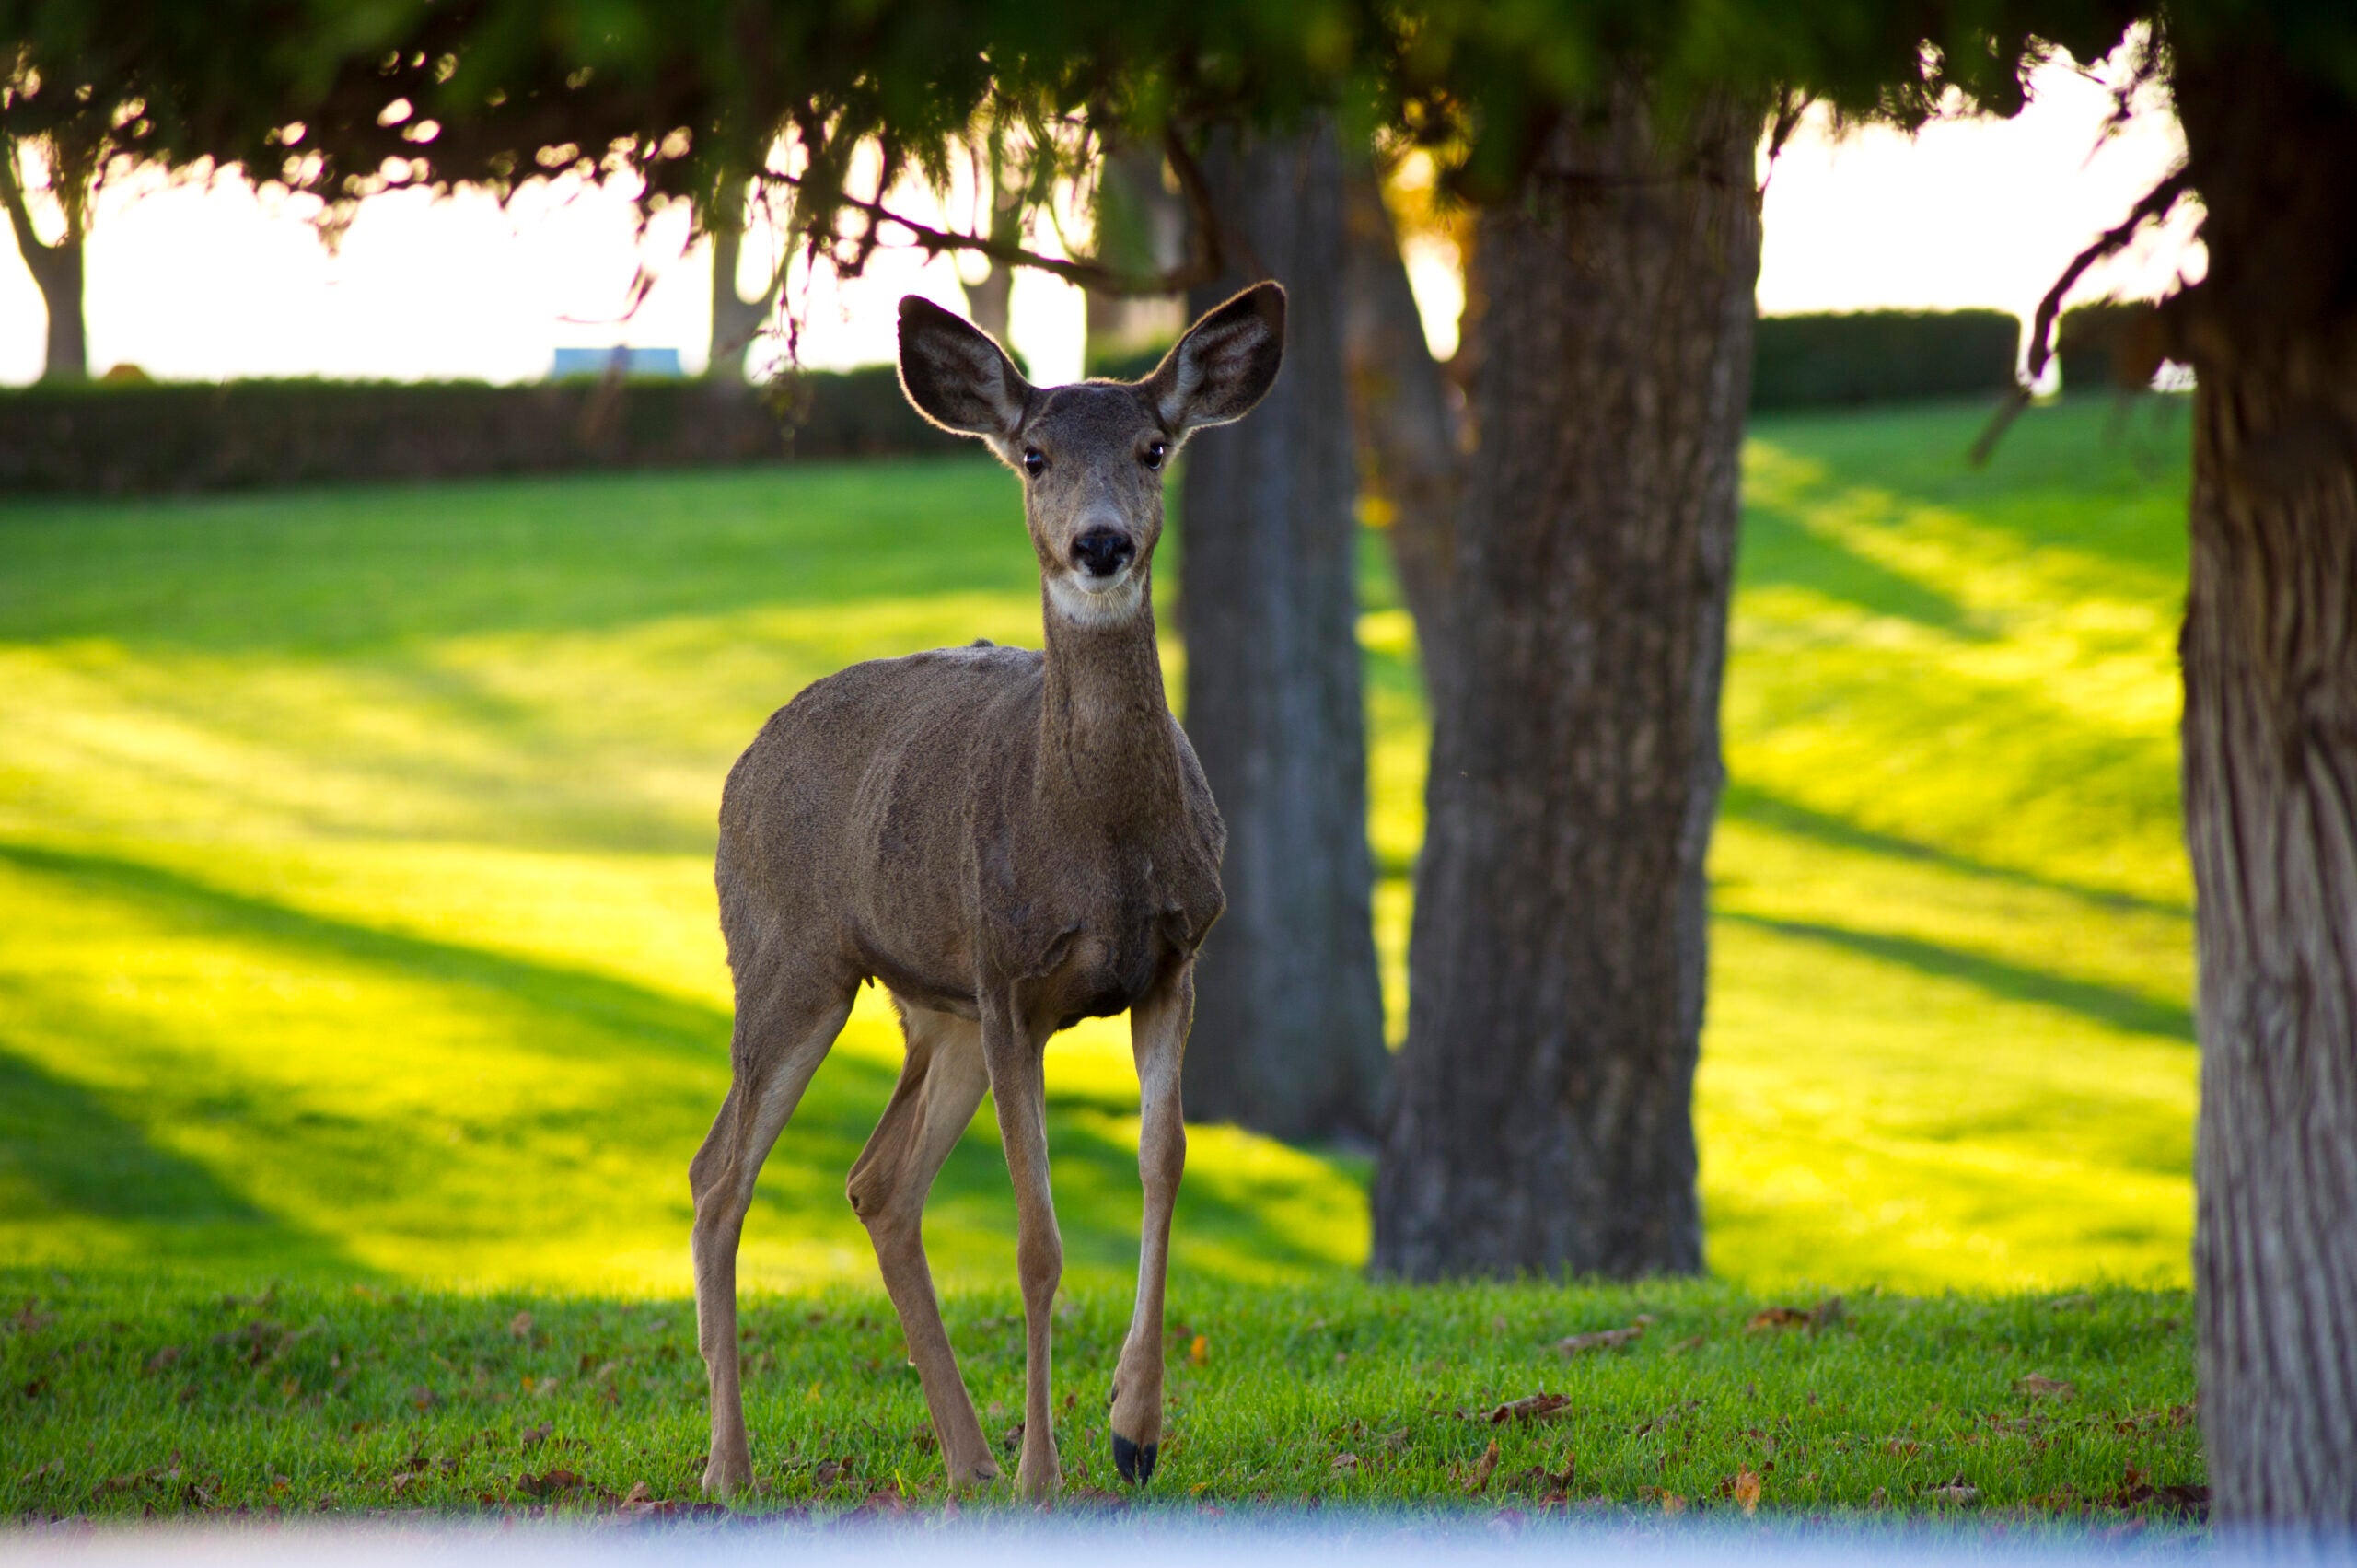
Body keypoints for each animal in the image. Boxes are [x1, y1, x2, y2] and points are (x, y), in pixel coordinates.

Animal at [689, 282, 1288, 1502]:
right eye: (1035, 454)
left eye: (1155, 447)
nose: (1100, 542)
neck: (1097, 841)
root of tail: (740, 766)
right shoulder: (1014, 981)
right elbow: (1037, 1236)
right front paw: (1043, 1474)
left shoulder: (1175, 961)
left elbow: (1163, 1165)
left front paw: (1133, 1429)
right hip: (790, 957)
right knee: (718, 1178)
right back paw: (731, 1468)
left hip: (937, 1008)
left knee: (877, 1181)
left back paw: (962, 1457)